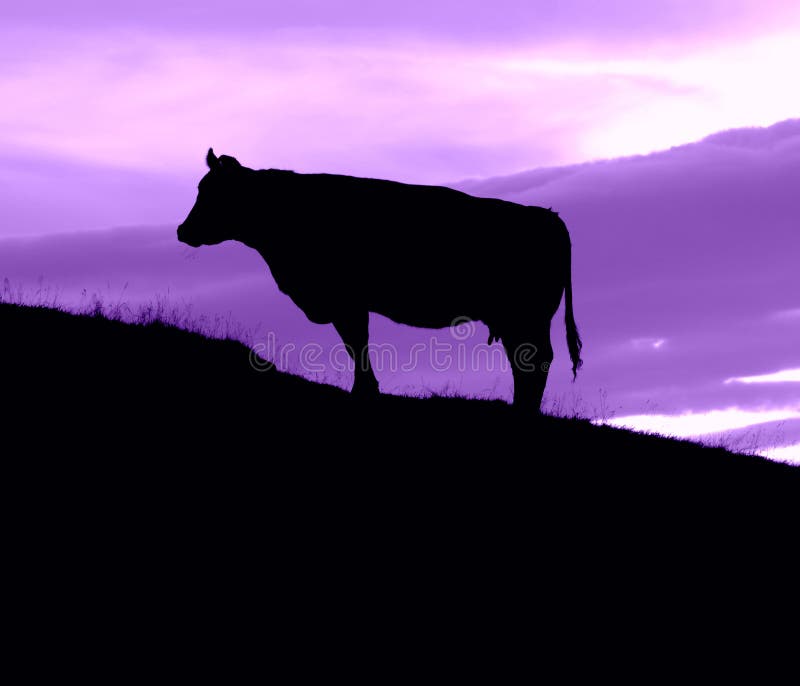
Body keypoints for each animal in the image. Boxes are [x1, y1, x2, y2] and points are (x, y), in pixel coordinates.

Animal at [178, 148, 582, 410]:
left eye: (213, 192)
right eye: (199, 189)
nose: (183, 230)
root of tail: (548, 216)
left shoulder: (347, 300)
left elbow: (356, 343)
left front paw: (364, 390)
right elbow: (356, 344)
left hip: (526, 316)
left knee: (534, 359)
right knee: (526, 360)